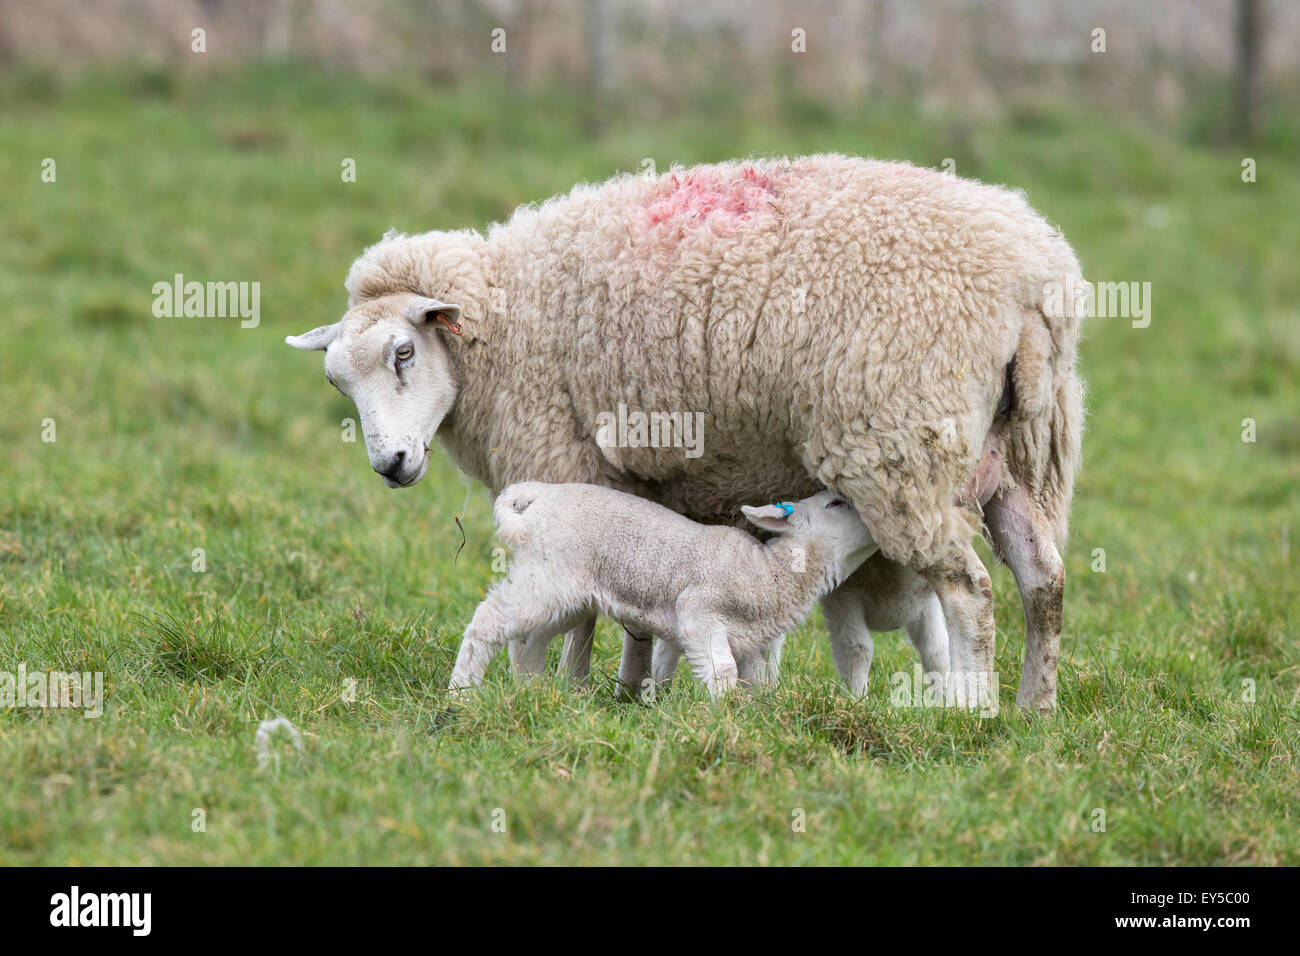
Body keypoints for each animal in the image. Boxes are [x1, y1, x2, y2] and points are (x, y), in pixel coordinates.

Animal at [448, 483, 878, 696]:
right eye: (836, 503)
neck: (772, 571)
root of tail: (540, 494)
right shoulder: (699, 611)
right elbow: (723, 671)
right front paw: (724, 718)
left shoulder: (750, 641)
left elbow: (754, 679)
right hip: (546, 573)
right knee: (488, 622)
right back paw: (461, 693)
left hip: (565, 593)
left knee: (529, 639)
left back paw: (533, 693)